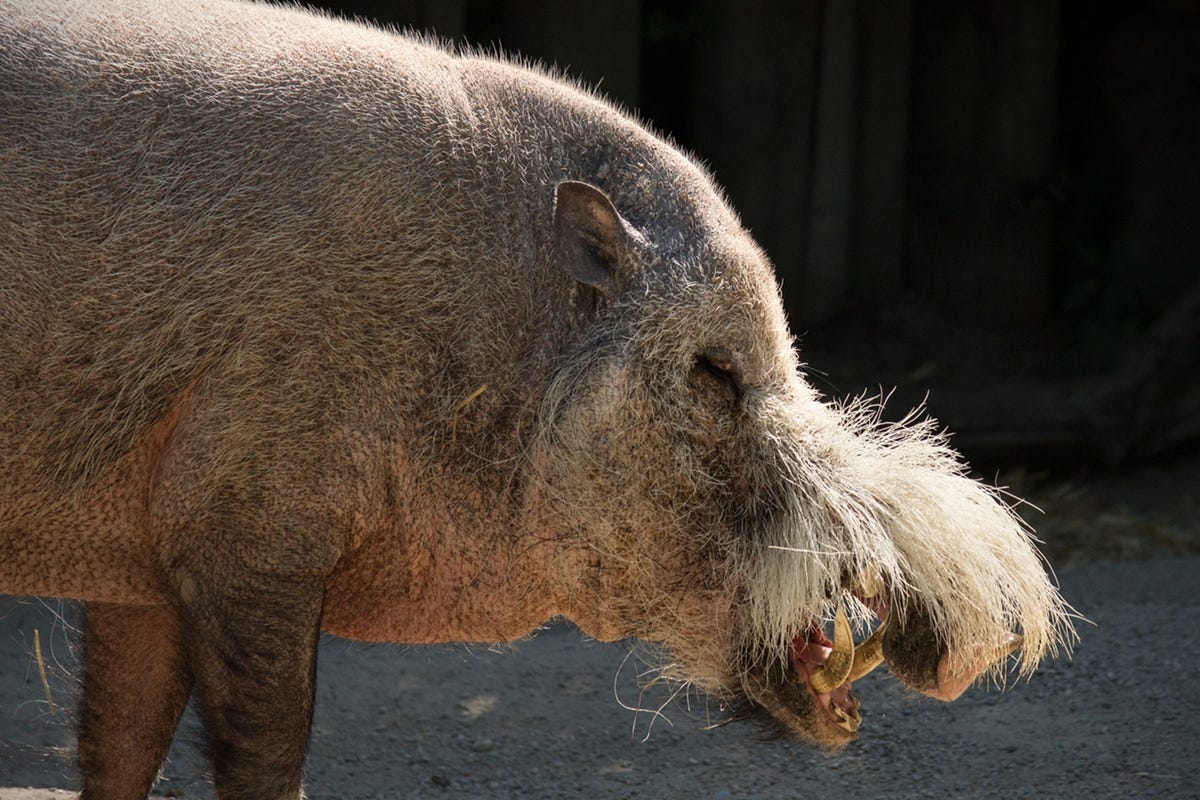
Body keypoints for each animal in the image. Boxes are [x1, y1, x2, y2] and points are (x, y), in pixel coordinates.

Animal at [0, 1, 1075, 798]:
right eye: (716, 370)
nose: (966, 658)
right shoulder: (246, 535)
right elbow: (262, 754)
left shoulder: (142, 563)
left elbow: (119, 747)